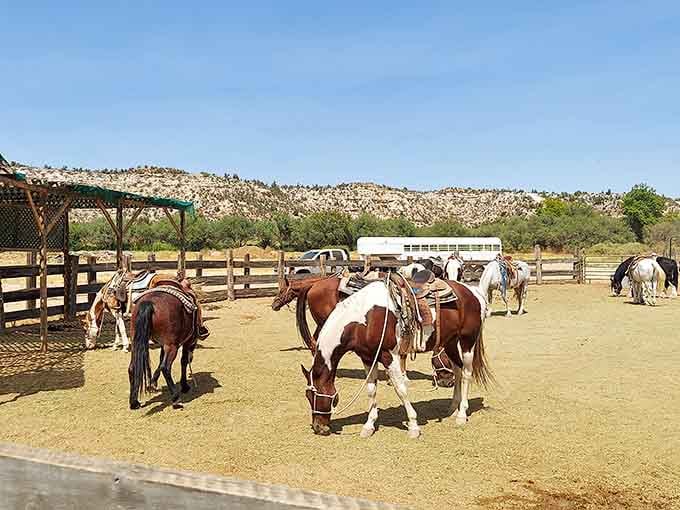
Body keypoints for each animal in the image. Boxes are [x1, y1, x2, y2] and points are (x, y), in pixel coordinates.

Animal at [272, 274, 457, 387]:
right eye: (448, 358)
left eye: (281, 289)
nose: (449, 383)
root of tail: (314, 285)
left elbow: (402, 354)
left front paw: (399, 376)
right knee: (315, 342)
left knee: (315, 341)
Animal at [300, 279, 491, 437]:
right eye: (307, 396)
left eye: (313, 395)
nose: (318, 428)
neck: (363, 319)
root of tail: (474, 292)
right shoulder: (368, 358)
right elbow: (371, 390)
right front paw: (368, 426)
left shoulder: (388, 356)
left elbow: (401, 389)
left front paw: (413, 426)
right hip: (450, 342)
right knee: (457, 370)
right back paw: (453, 407)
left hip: (467, 341)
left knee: (466, 373)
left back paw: (462, 414)